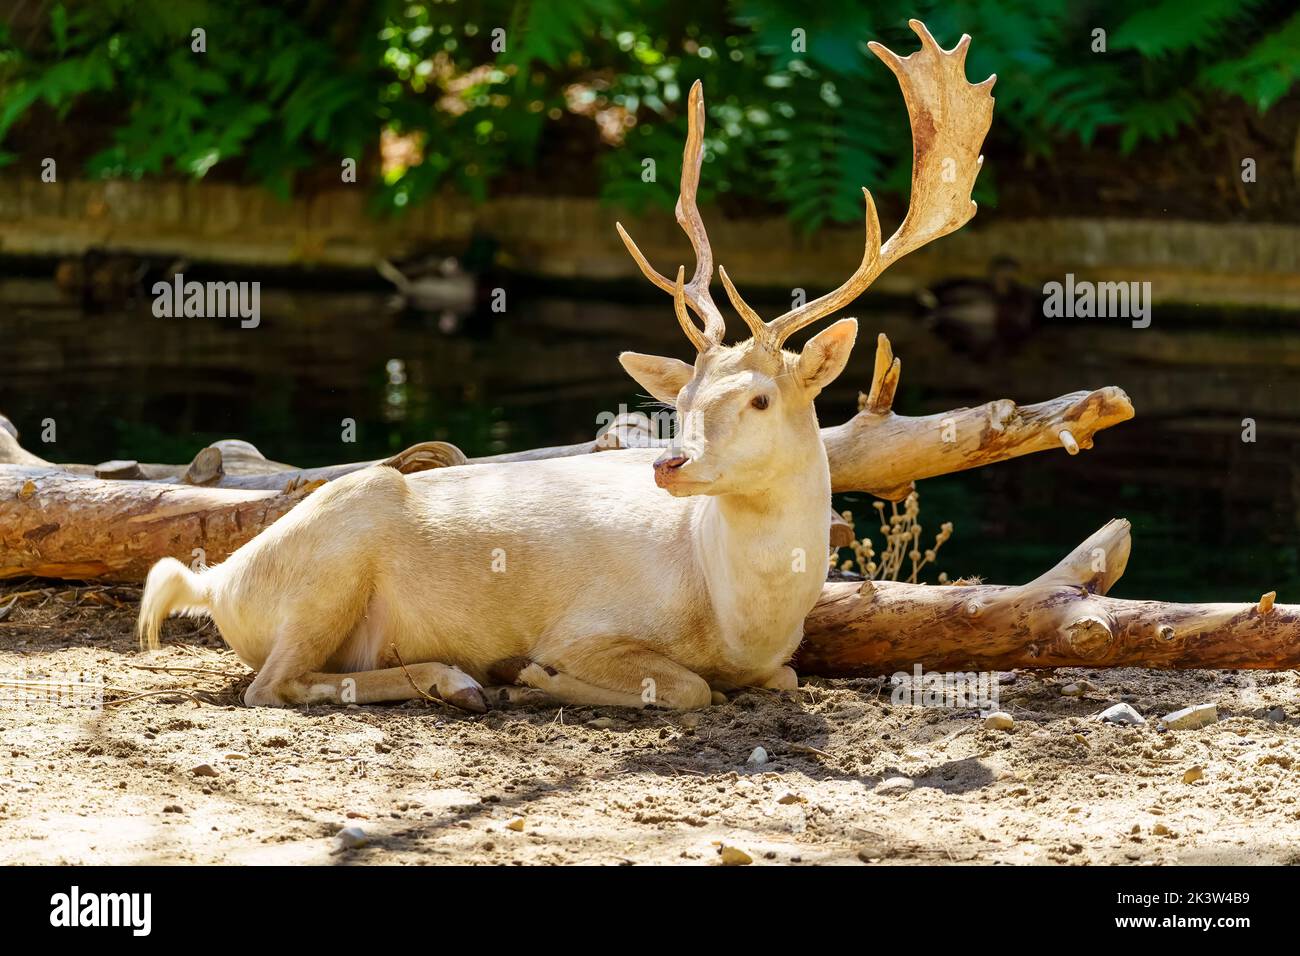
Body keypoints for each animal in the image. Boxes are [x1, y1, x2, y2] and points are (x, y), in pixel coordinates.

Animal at [137, 21, 994, 711]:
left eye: (757, 399)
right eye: (681, 399)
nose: (671, 463)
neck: (736, 616)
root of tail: (219, 581)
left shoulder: (775, 660)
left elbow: (777, 678)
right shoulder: (589, 626)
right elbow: (685, 688)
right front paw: (537, 674)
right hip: (333, 555)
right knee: (270, 685)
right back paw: (463, 678)